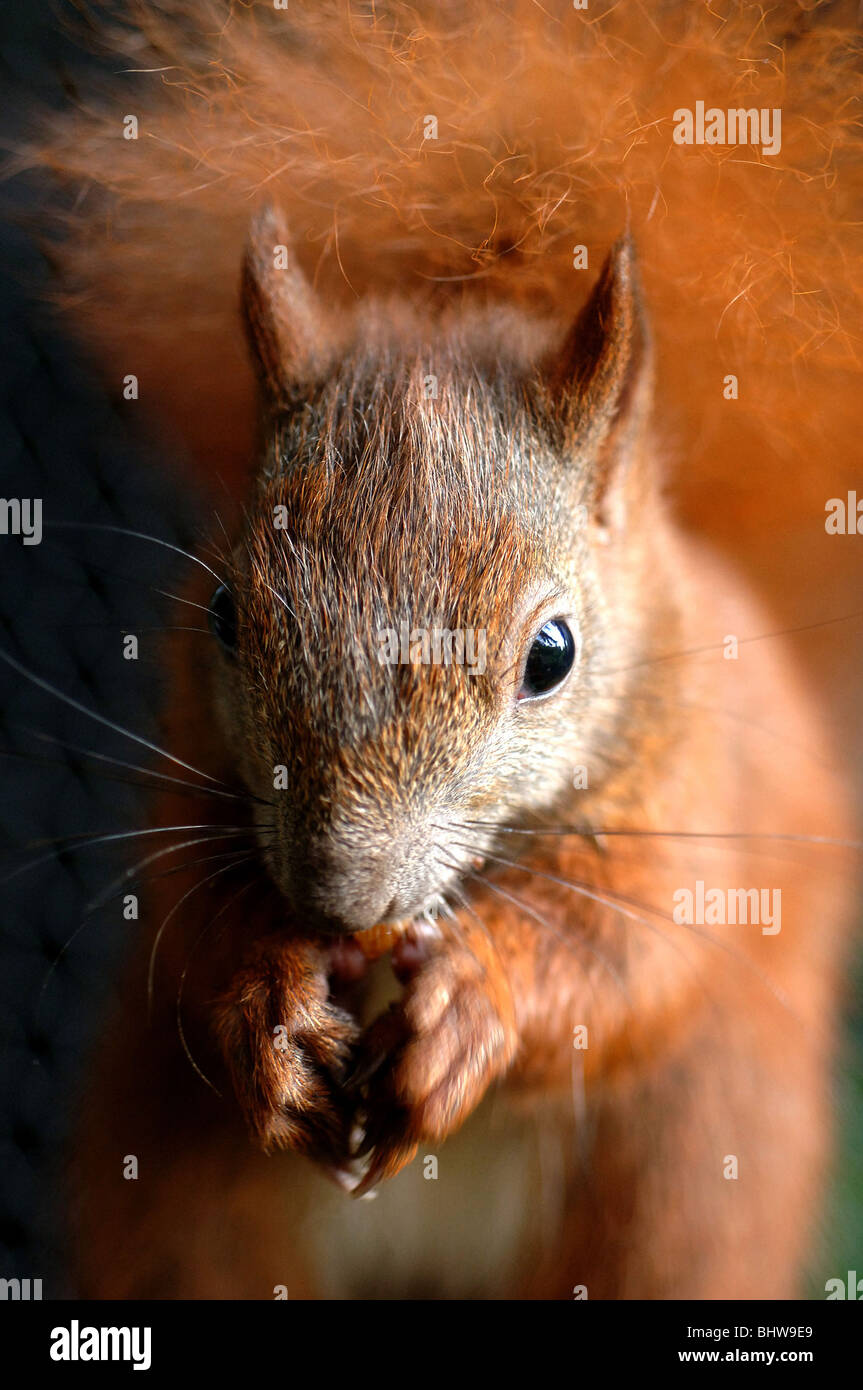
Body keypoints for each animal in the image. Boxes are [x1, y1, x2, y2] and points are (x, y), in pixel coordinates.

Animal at [19, 0, 862, 1298]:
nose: (344, 896)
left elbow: (631, 953)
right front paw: (265, 1004)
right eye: (224, 615)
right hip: (182, 1195)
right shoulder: (182, 760)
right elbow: (184, 910)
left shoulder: (700, 795)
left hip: (679, 1175)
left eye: (552, 655)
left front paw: (478, 1003)